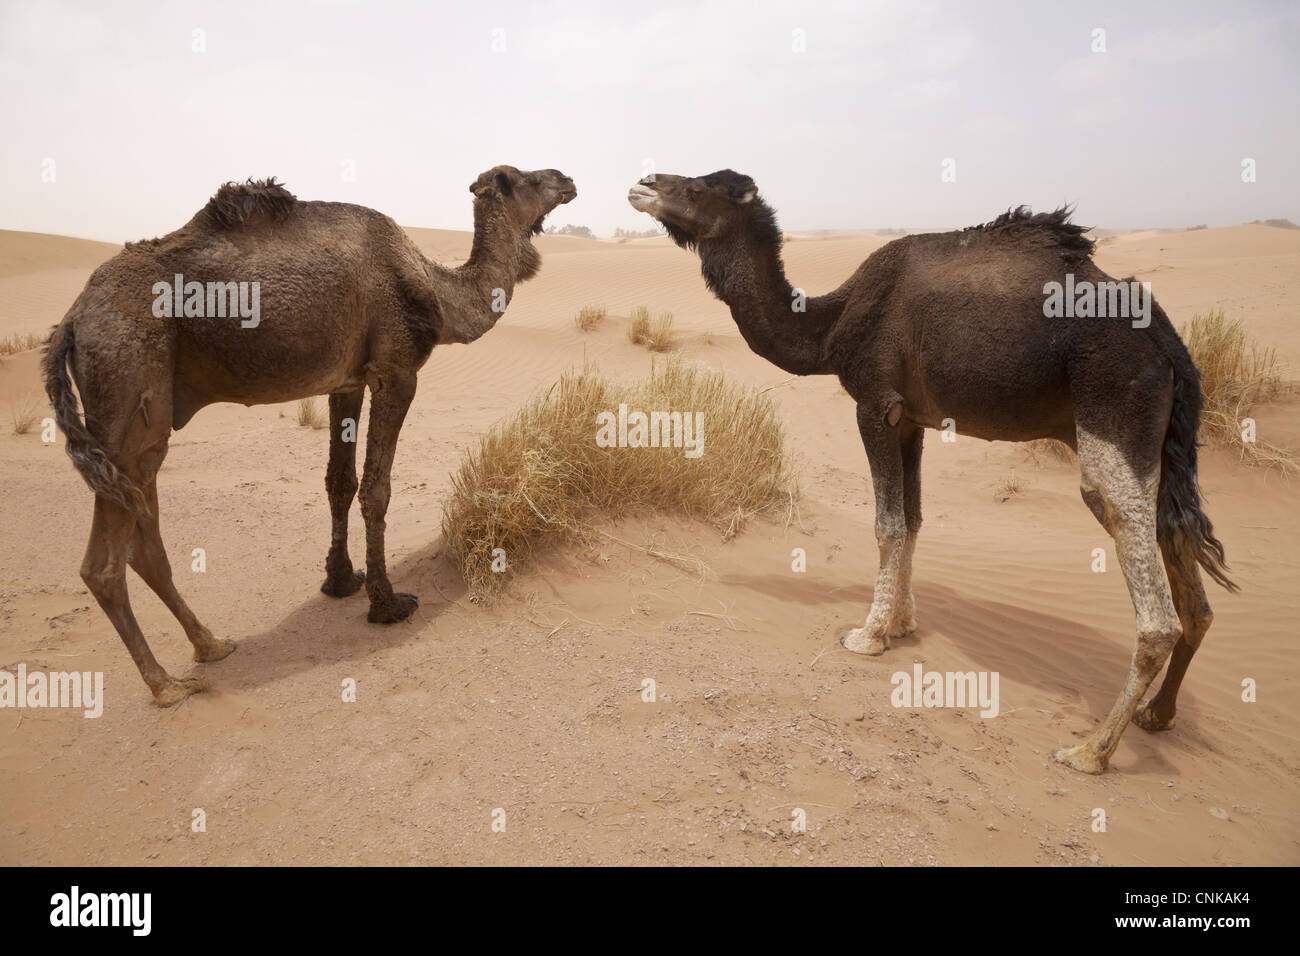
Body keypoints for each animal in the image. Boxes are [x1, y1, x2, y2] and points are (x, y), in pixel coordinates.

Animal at [44, 166, 576, 706]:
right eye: (528, 179)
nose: (568, 178)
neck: (434, 287)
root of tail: (73, 320)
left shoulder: (347, 381)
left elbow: (339, 482)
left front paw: (340, 581)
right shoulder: (396, 370)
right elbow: (377, 489)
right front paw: (387, 603)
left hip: (144, 429)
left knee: (144, 542)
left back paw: (210, 645)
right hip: (124, 384)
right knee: (102, 565)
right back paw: (166, 685)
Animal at [628, 170, 1236, 774]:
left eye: (698, 187)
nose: (643, 182)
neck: (833, 323)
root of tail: (1169, 345)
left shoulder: (874, 403)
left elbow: (887, 524)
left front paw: (868, 635)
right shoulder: (912, 420)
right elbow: (914, 518)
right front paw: (901, 623)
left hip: (1114, 409)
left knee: (1147, 592)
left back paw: (1090, 751)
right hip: (1160, 447)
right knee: (1193, 588)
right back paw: (1158, 715)